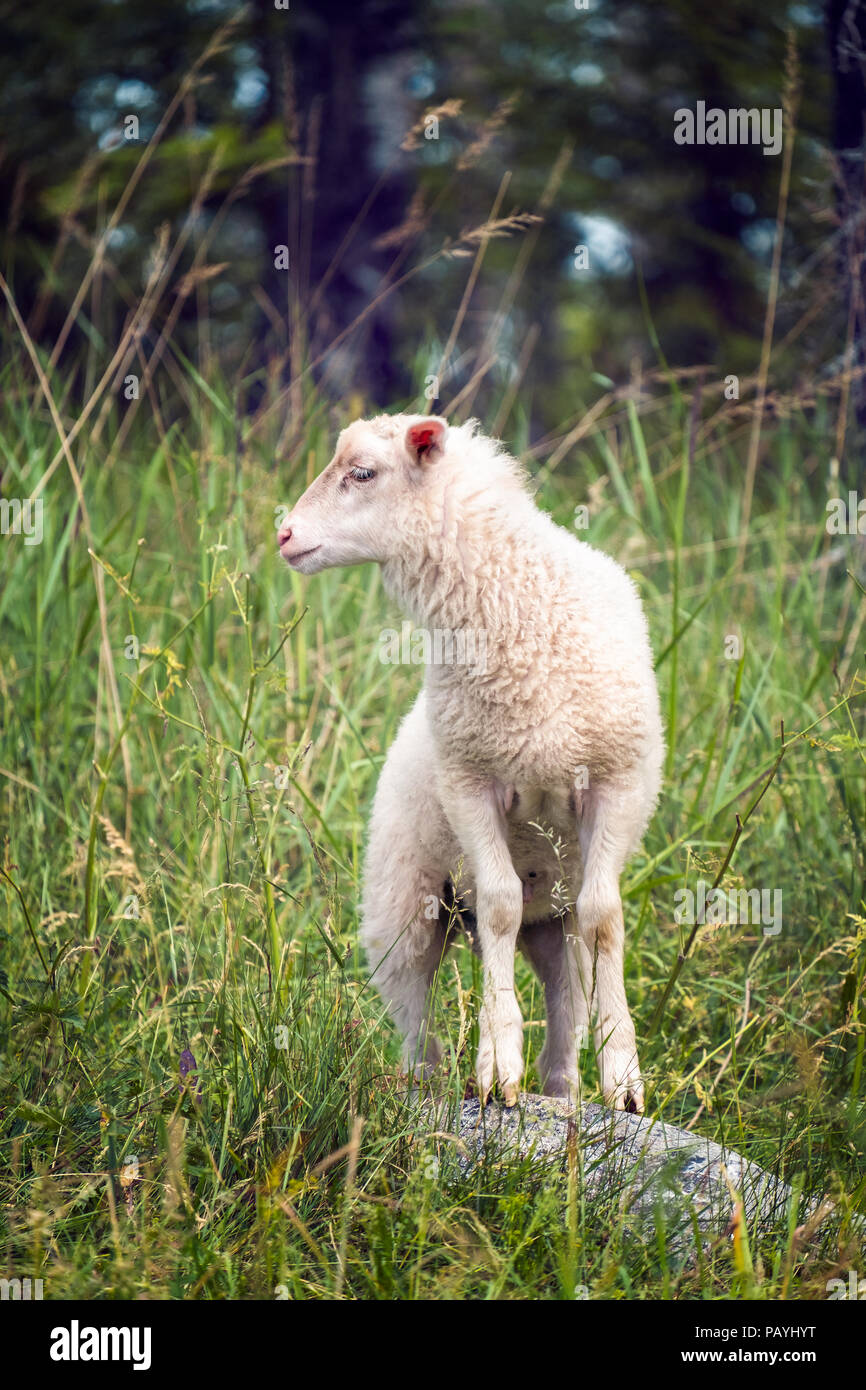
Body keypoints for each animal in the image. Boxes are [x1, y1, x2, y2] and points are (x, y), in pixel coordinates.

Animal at [278, 414, 664, 1111]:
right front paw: (496, 1071)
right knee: (416, 1003)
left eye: (363, 473)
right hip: (404, 904)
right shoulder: (469, 783)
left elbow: (605, 917)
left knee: (564, 989)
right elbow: (501, 904)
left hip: (553, 920)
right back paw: (427, 1084)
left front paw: (623, 1080)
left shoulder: (615, 780)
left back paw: (563, 1090)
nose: (284, 535)